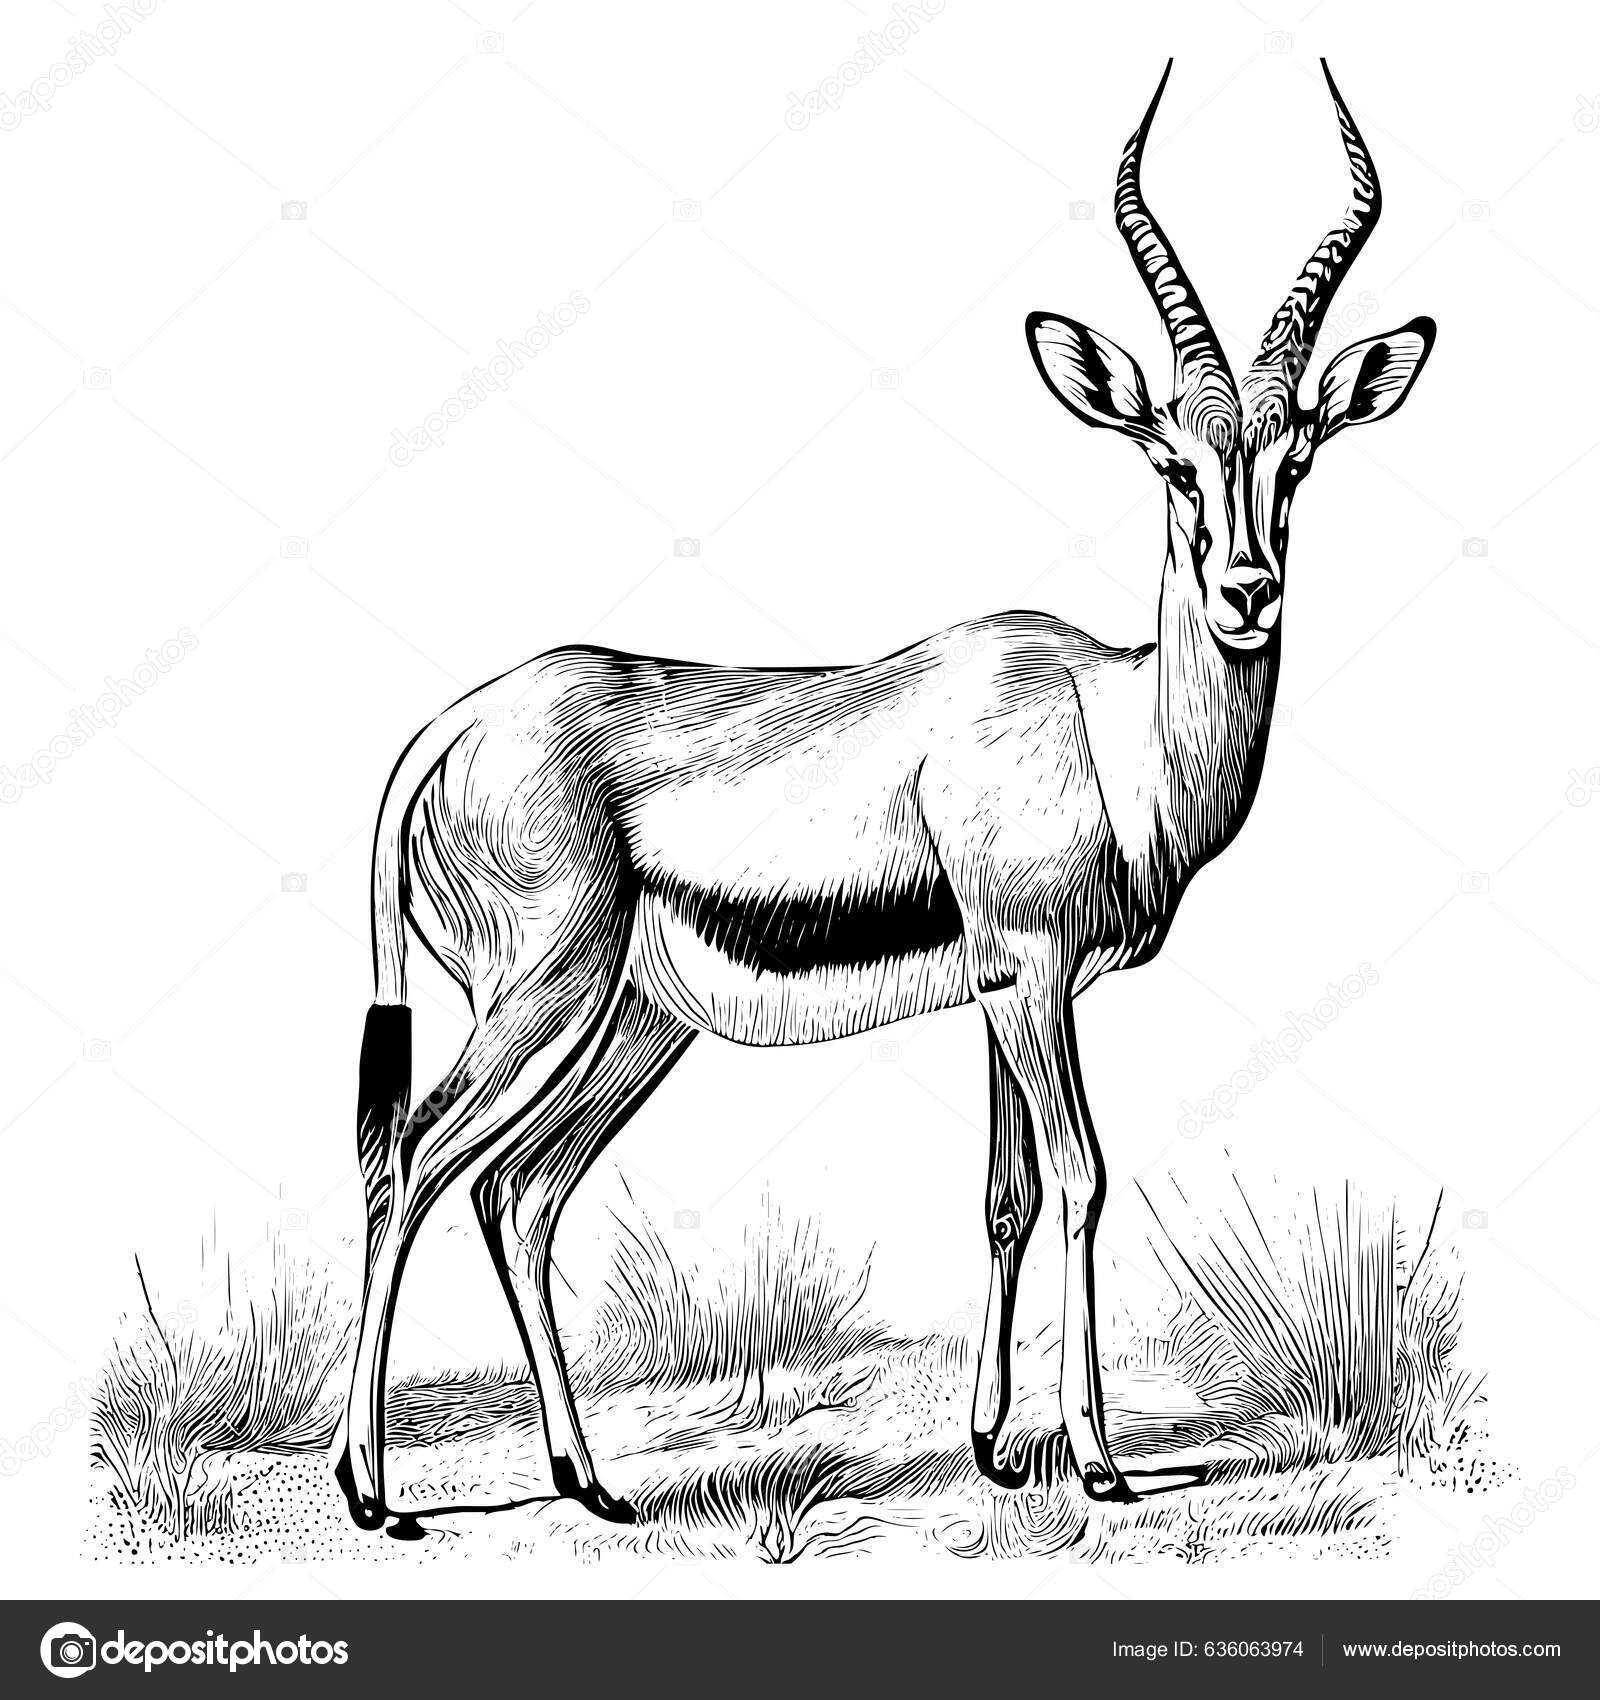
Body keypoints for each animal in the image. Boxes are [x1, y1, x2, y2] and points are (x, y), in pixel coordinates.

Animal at [334, 60, 1435, 1533]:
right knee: (412, 1159)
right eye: (1171, 460)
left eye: (1299, 455)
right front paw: (1099, 1462)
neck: (1108, 727)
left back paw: (591, 1482)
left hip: (634, 1021)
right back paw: (373, 1491)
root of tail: (450, 728)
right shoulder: (1033, 973)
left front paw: (993, 1446)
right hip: (539, 998)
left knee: (519, 1190)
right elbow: (1082, 1177)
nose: (1247, 592)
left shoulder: (1003, 990)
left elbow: (1005, 1196)